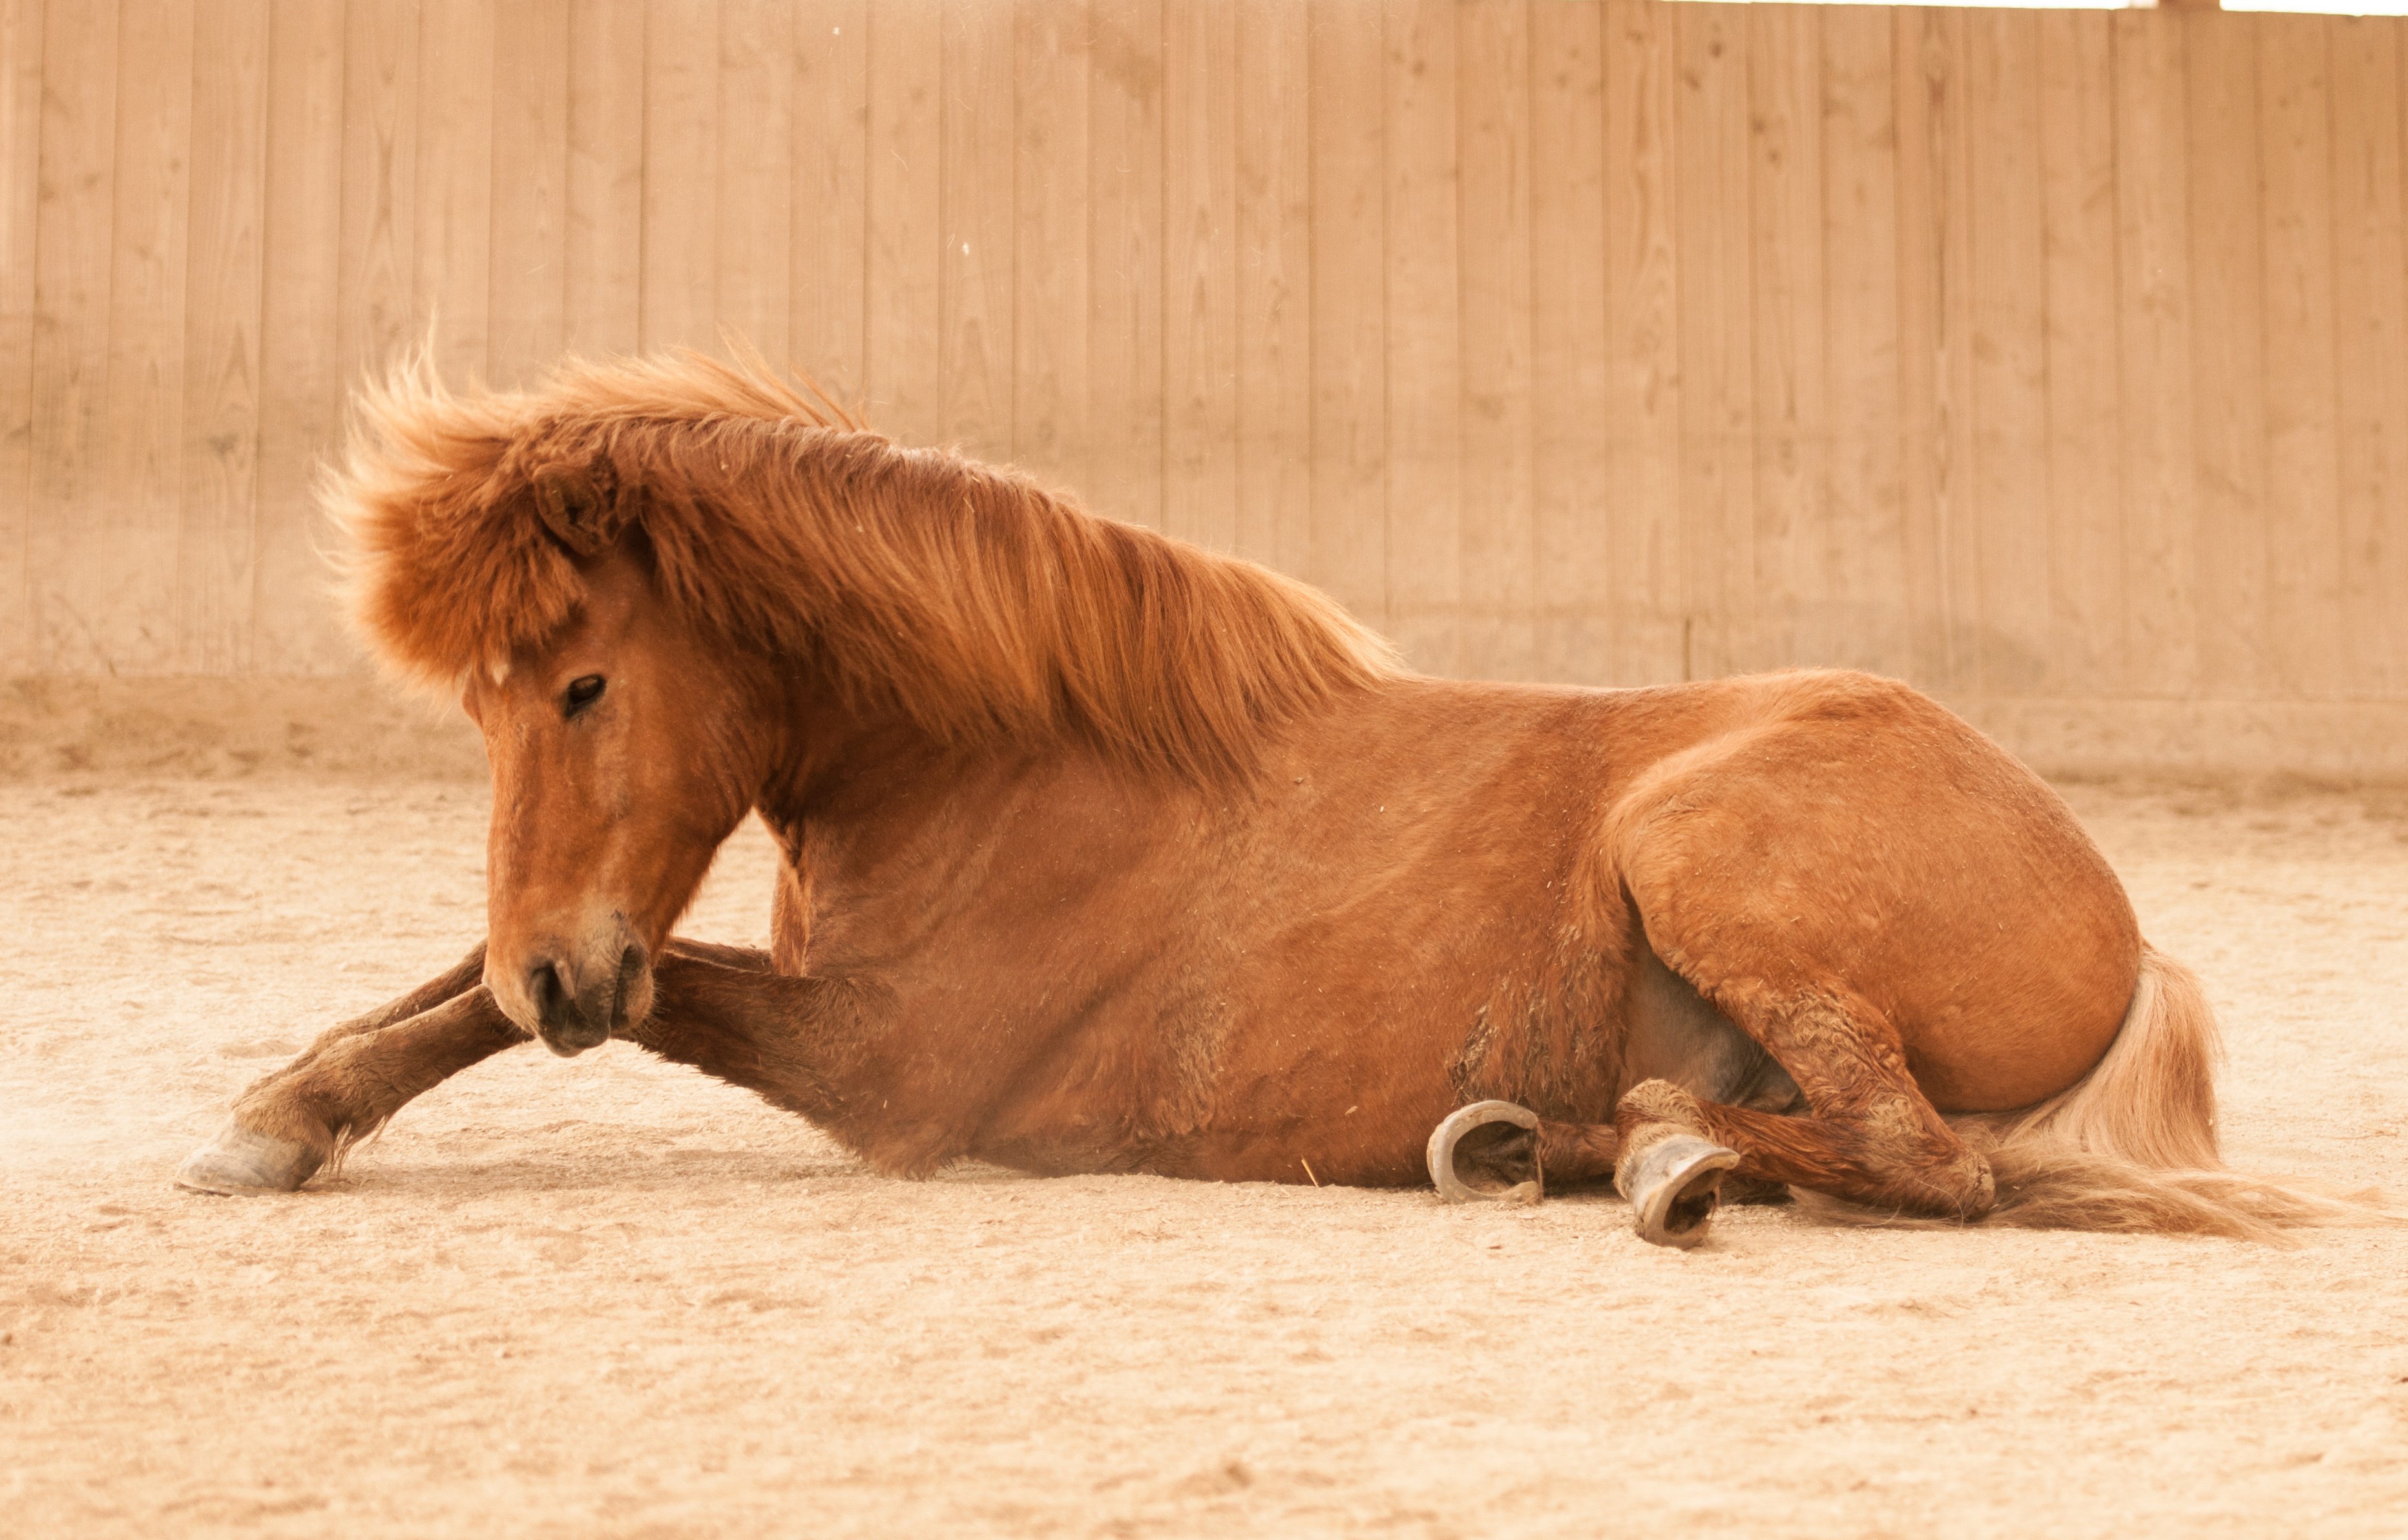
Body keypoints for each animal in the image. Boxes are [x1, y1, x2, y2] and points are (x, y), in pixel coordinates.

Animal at [176, 348, 2369, 1248]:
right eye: (483, 702)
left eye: (582, 683)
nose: (562, 967)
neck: (1011, 755)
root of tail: (2122, 922)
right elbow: (445, 993)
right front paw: (277, 1113)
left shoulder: (888, 1069)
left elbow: (613, 1001)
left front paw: (281, 1117)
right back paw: (1565, 1143)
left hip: (1693, 838)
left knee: (1925, 1161)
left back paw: (1645, 1147)